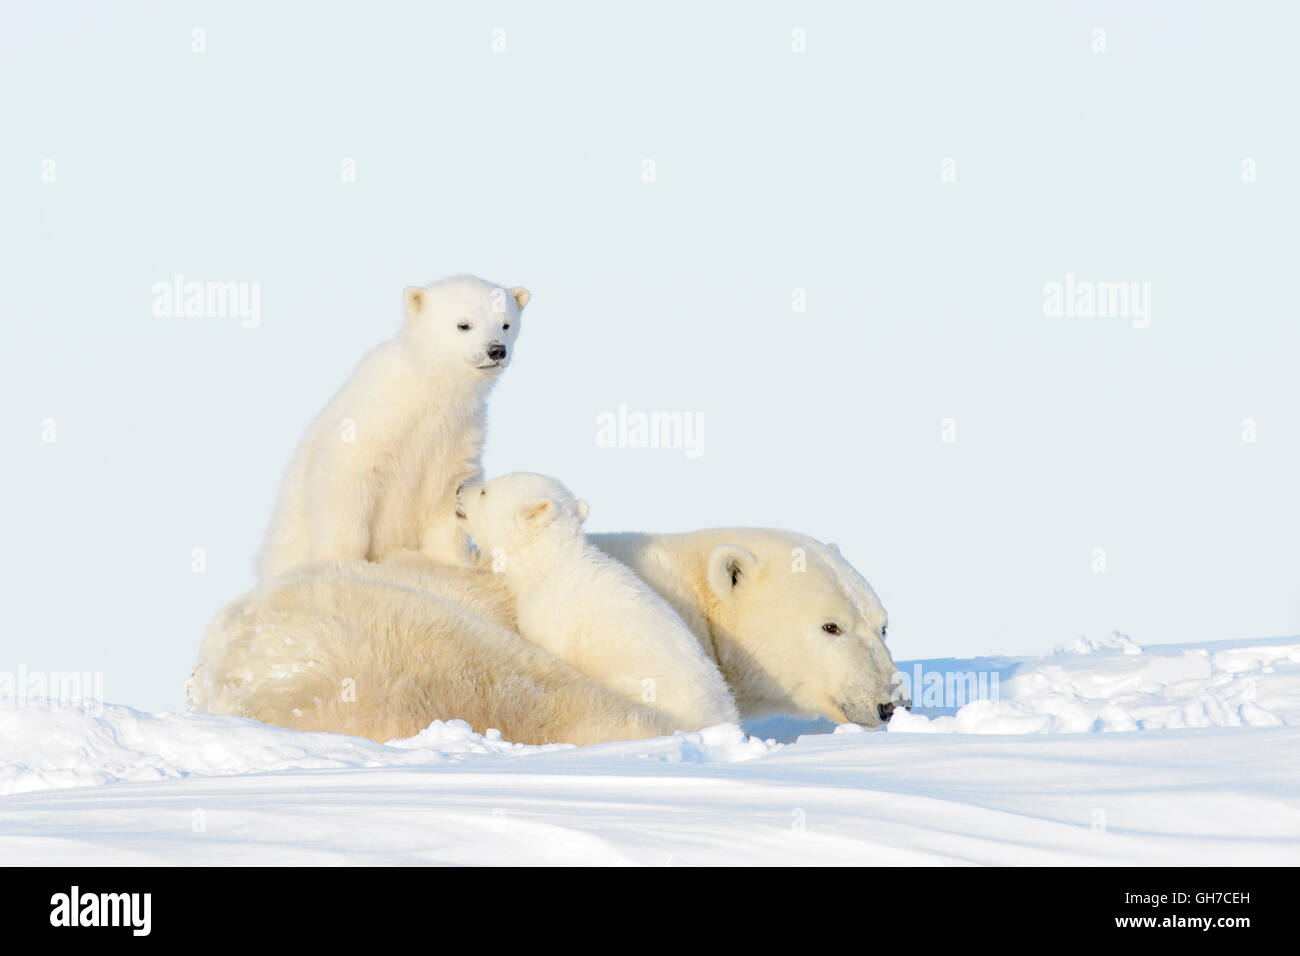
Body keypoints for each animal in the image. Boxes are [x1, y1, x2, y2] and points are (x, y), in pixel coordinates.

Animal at [257, 274, 530, 580]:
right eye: (464, 324)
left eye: (506, 323)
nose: (496, 350)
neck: (430, 389)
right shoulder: (377, 416)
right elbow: (347, 475)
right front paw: (344, 561)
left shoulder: (459, 432)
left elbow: (452, 490)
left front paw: (456, 563)